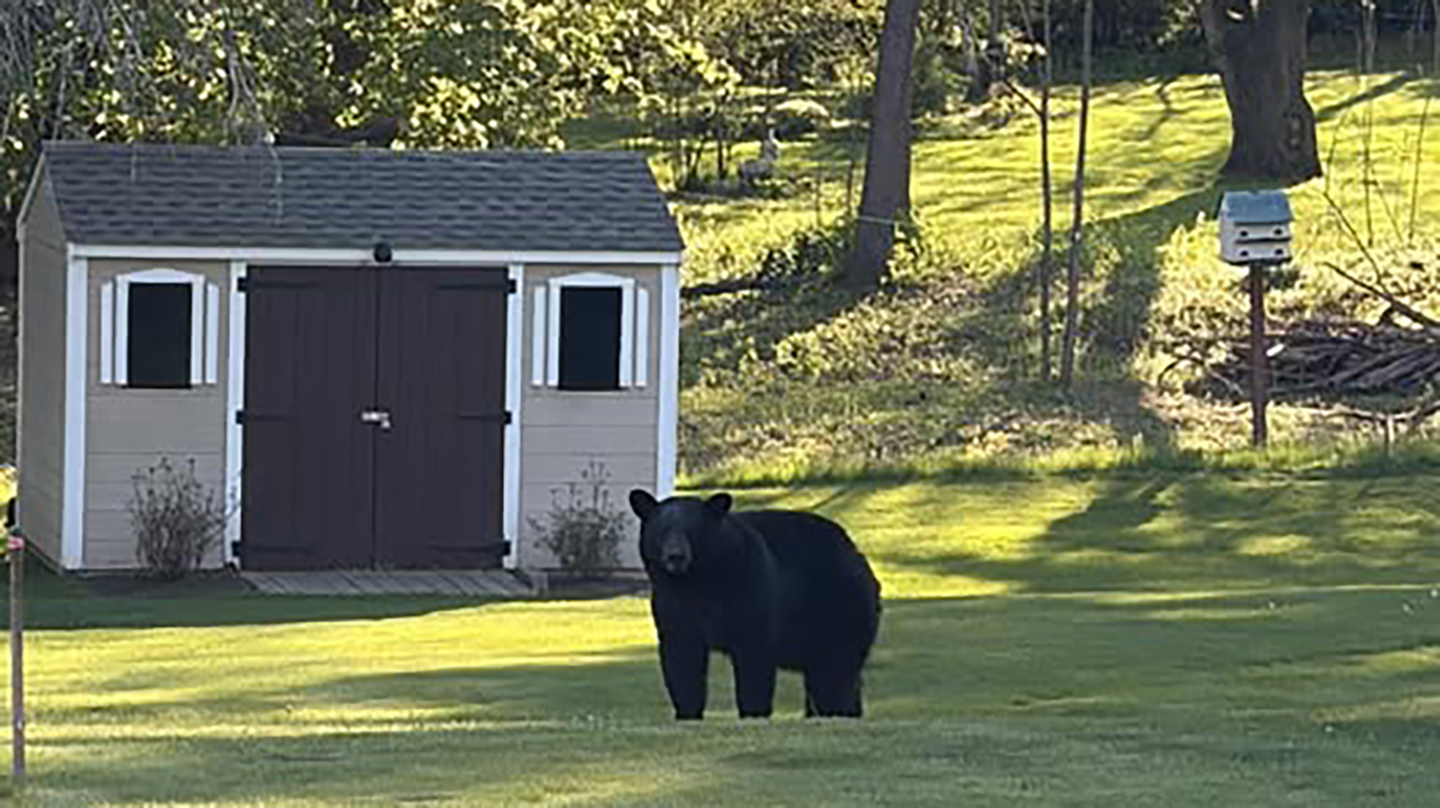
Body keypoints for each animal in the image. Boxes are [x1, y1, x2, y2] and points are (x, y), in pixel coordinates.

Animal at [628, 489, 882, 720]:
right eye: (662, 530)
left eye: (693, 530)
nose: (675, 556)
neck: (698, 581)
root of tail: (858, 556)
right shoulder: (672, 604)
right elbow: (681, 656)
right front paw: (687, 714)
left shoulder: (749, 586)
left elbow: (754, 655)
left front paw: (753, 713)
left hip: (839, 610)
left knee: (834, 673)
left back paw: (837, 713)